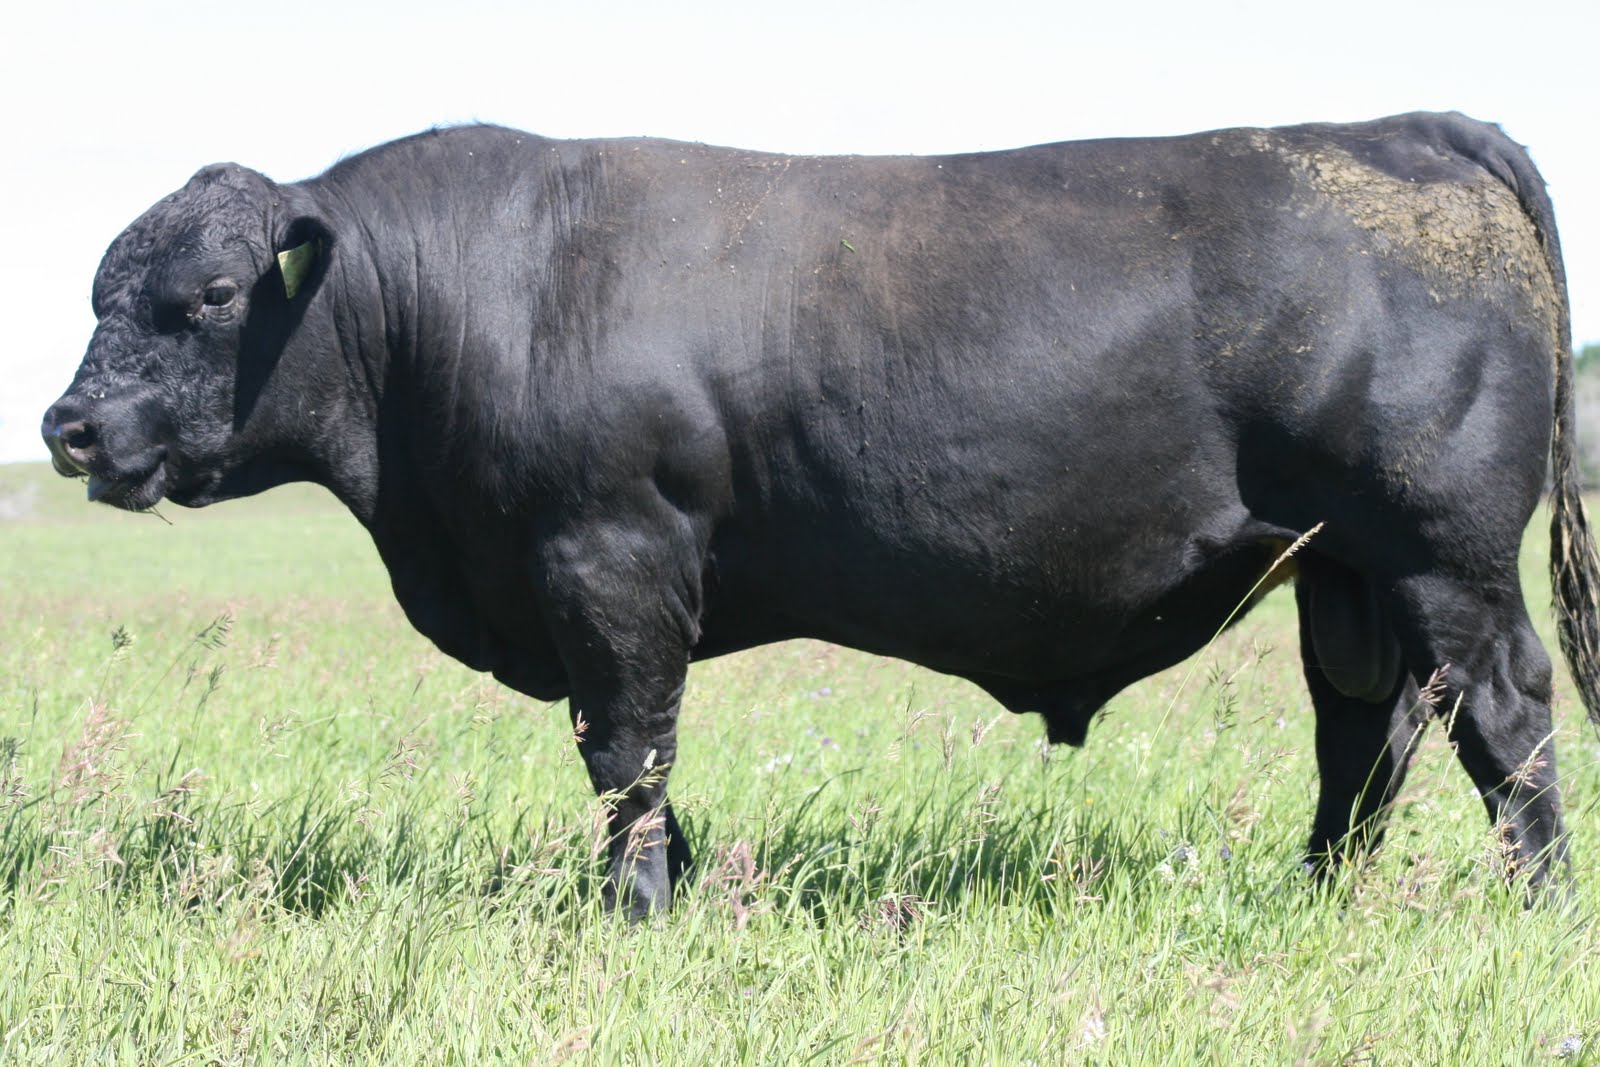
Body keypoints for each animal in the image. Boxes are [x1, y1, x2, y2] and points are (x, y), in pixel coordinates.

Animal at [42, 112, 1600, 918]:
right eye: (104, 288)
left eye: (210, 294)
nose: (69, 426)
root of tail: (1398, 130)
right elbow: (637, 763)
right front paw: (680, 887)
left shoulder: (608, 557)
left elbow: (628, 749)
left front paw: (635, 912)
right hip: (1345, 570)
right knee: (1369, 730)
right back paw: (1317, 890)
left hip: (1442, 552)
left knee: (1505, 716)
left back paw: (1534, 905)